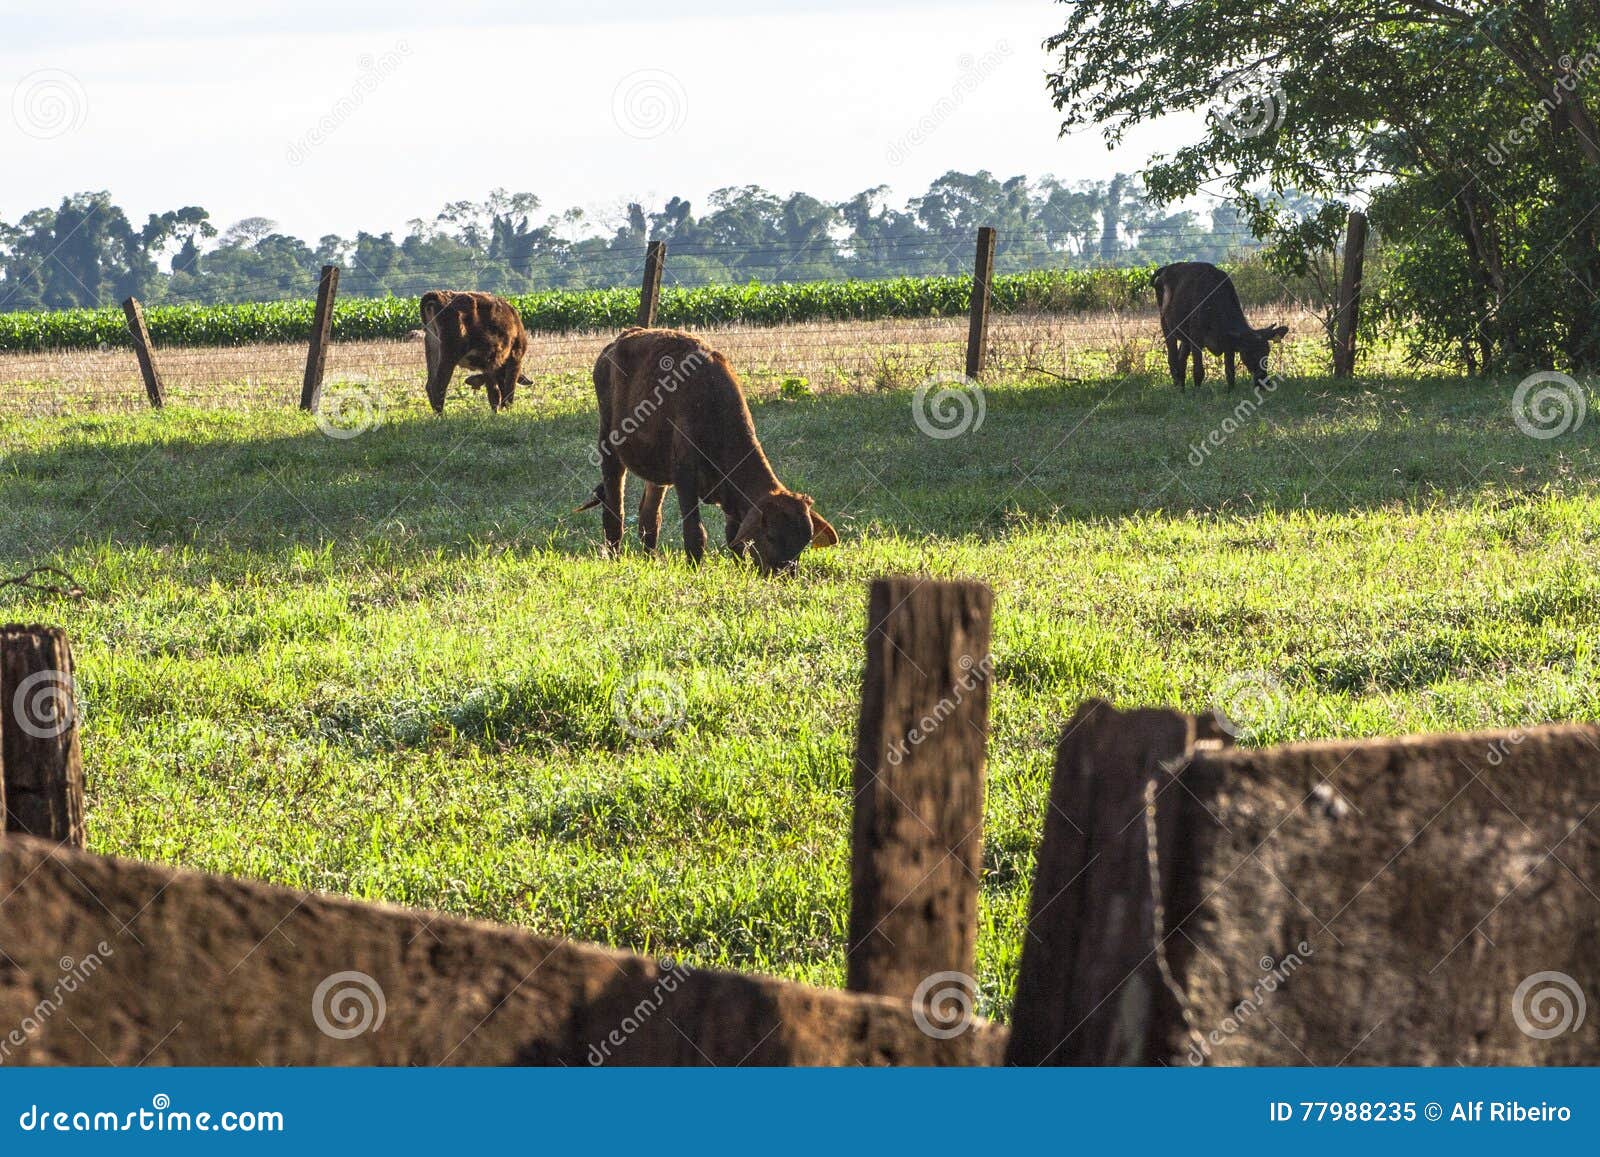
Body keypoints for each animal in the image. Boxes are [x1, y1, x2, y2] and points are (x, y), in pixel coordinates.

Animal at [578, 327, 838, 574]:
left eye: (803, 544)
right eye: (771, 536)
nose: (783, 575)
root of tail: (621, 338)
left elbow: (733, 535)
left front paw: (740, 568)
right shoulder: (685, 475)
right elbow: (695, 532)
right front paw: (694, 569)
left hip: (656, 470)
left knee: (649, 518)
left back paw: (651, 560)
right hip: (609, 444)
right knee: (614, 512)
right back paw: (615, 558)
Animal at [1152, 262, 1289, 389]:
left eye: (1267, 352)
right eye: (1249, 353)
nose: (1264, 382)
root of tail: (1166, 268)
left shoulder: (1228, 344)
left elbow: (1230, 372)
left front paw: (1230, 392)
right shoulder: (1196, 338)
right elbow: (1199, 371)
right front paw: (1196, 394)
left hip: (1185, 334)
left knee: (1181, 360)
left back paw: (1182, 389)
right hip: (1166, 323)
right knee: (1172, 359)